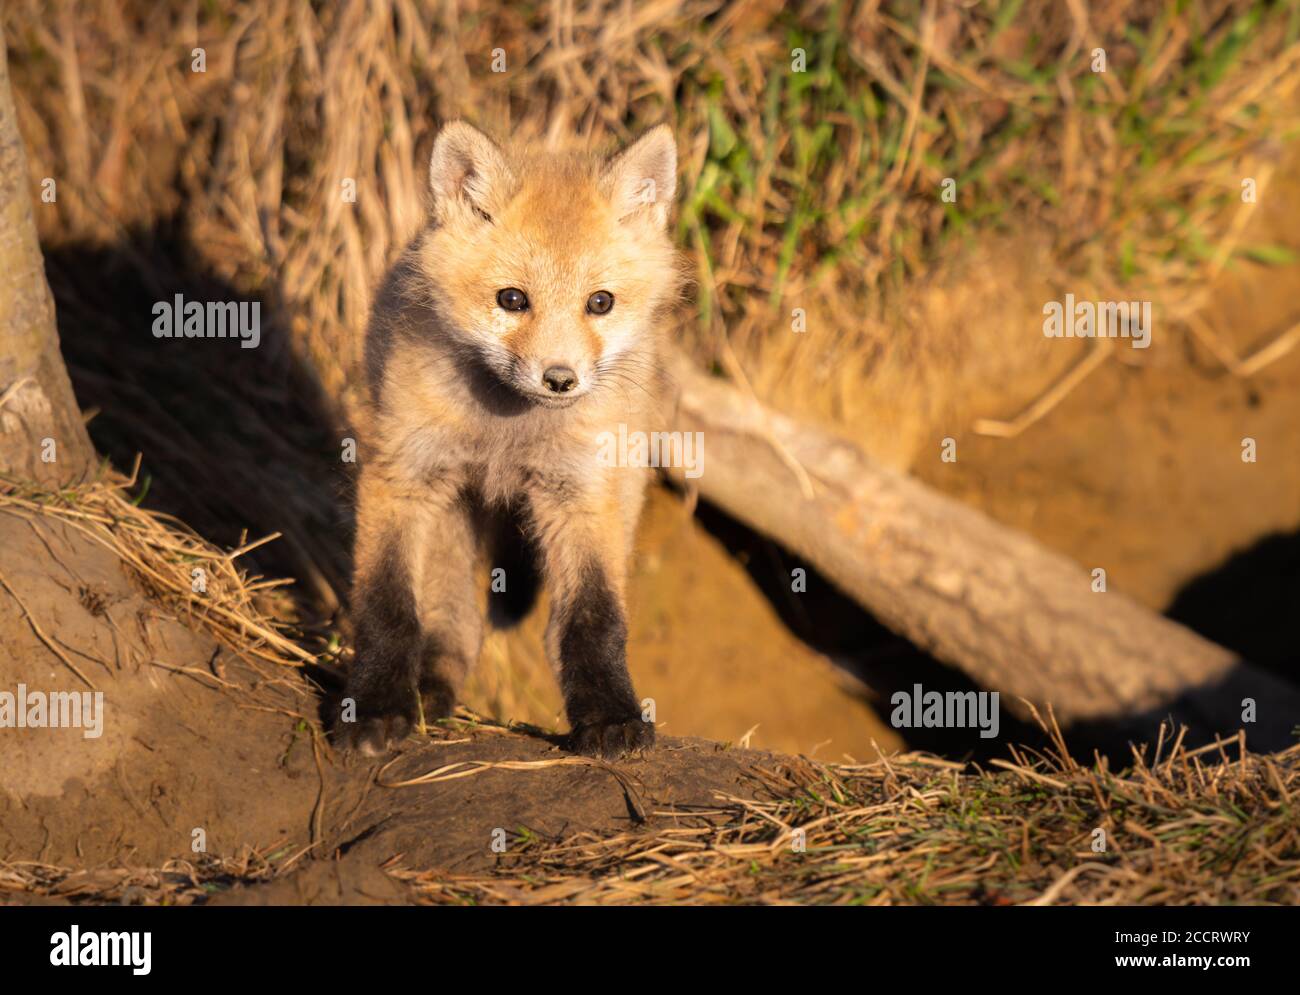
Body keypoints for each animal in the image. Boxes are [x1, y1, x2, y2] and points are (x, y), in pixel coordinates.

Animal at [337, 121, 682, 759]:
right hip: (451, 512)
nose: (561, 379)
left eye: (600, 302)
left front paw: (610, 716)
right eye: (512, 300)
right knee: (454, 618)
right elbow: (386, 605)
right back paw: (432, 686)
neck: (507, 435)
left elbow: (594, 619)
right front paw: (373, 707)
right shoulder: (401, 473)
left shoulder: (579, 494)